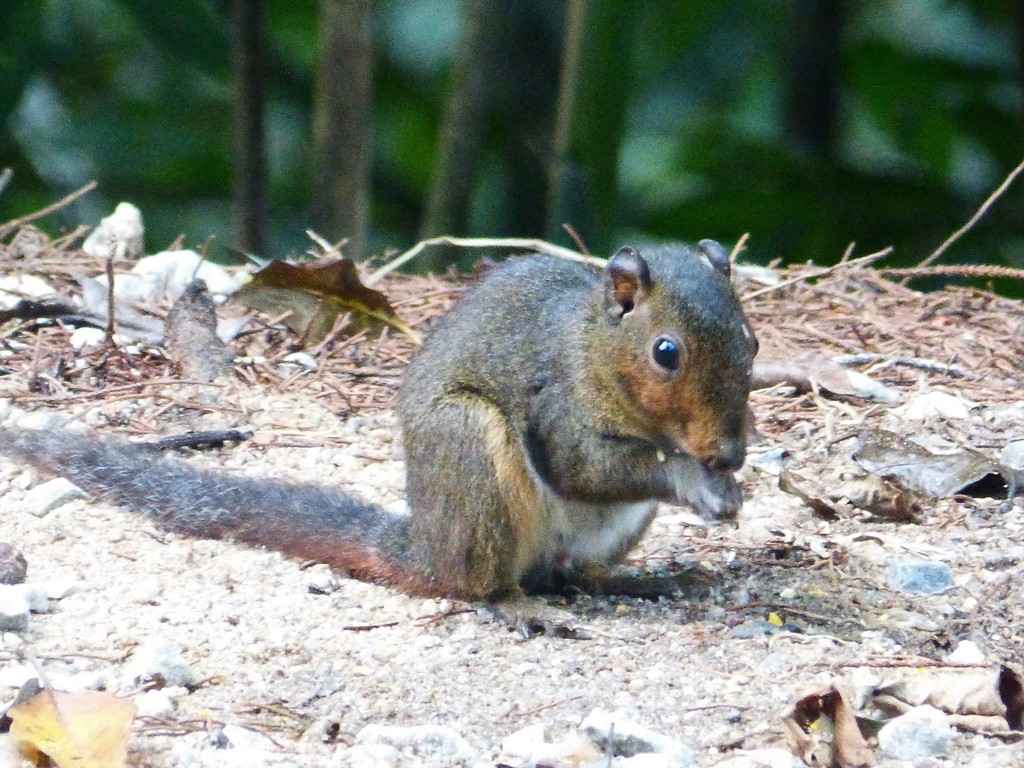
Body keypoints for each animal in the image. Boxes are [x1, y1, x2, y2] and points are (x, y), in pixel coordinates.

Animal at [0, 241, 757, 617]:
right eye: (666, 352)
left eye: (751, 340)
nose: (730, 452)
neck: (596, 348)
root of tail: (424, 546)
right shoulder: (559, 400)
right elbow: (583, 466)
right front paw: (692, 479)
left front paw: (723, 486)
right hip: (470, 450)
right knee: (482, 585)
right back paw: (516, 606)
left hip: (607, 532)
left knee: (572, 573)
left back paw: (635, 583)